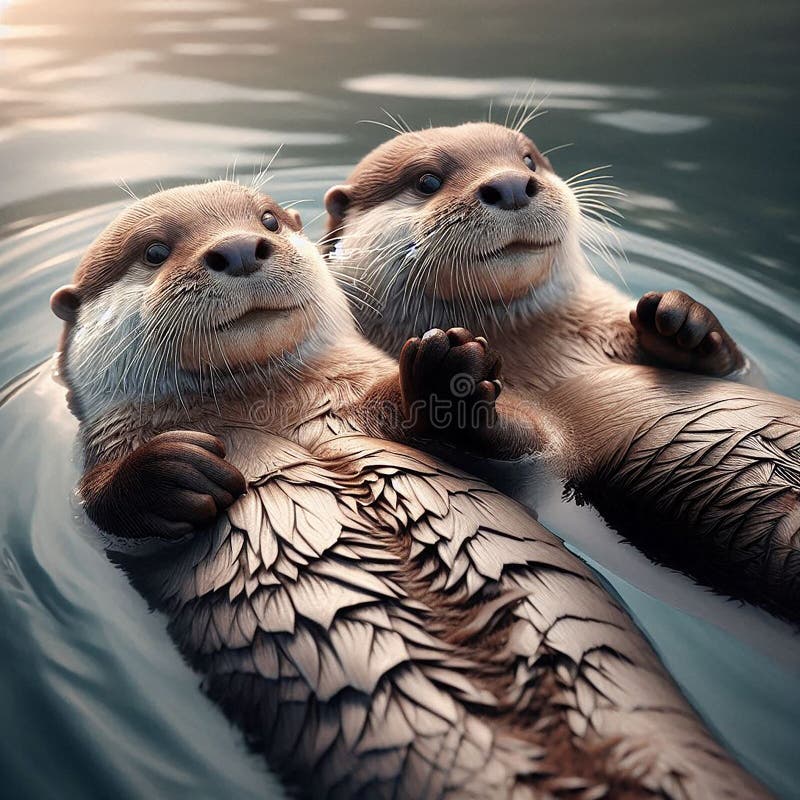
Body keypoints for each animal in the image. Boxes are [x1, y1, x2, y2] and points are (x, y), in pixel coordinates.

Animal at [51, 181, 768, 799]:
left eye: (268, 220)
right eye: (153, 251)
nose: (238, 248)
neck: (278, 410)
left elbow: (514, 435)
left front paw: (448, 368)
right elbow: (97, 506)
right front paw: (174, 467)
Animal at [323, 122, 800, 622]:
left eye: (529, 159)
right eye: (427, 181)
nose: (512, 184)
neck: (552, 360)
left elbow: (741, 372)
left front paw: (681, 320)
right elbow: (523, 450)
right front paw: (448, 376)